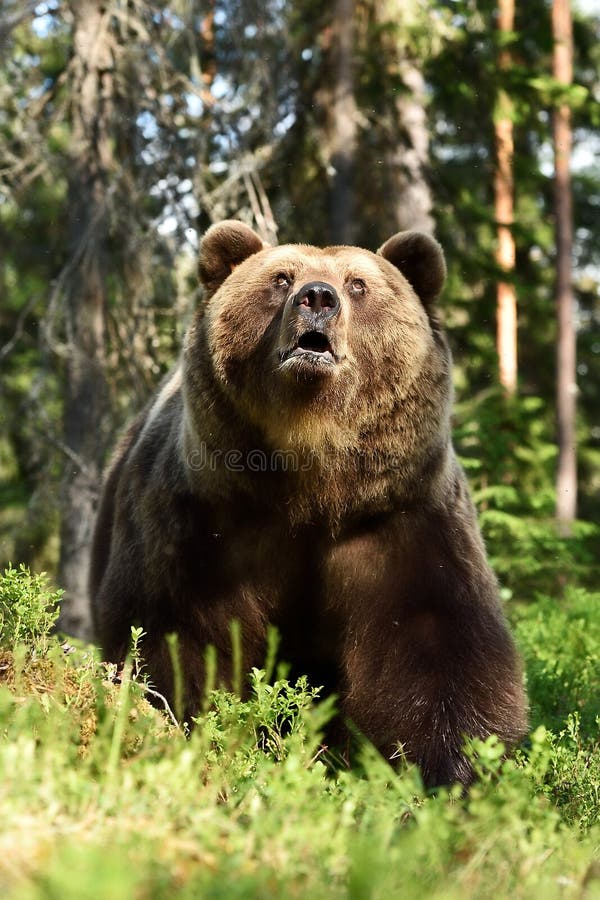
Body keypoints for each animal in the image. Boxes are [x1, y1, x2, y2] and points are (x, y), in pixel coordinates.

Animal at [90, 219, 528, 787]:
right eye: (280, 278)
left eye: (358, 284)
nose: (317, 297)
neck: (311, 482)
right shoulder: (201, 521)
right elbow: (174, 631)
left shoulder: (400, 520)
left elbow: (439, 647)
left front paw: (453, 770)